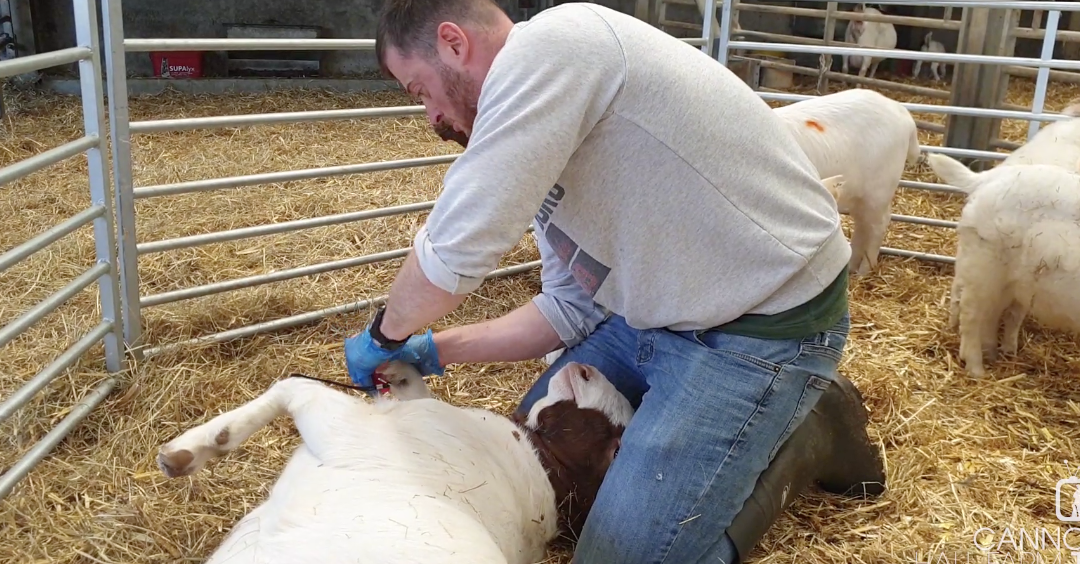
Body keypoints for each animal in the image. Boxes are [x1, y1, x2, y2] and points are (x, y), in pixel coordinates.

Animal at [156, 360, 633, 564]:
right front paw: (398, 366)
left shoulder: (350, 431)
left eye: (618, 446)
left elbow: (294, 386)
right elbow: (408, 384)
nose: (586, 368)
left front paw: (191, 449)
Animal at [775, 88, 921, 275]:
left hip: (880, 189)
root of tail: (900, 110)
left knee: (878, 224)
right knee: (862, 225)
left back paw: (864, 272)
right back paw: (852, 267)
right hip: (858, 195)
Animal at [926, 153, 1080, 377]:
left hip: (1008, 279)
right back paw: (976, 368)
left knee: (992, 314)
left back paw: (994, 354)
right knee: (971, 315)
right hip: (984, 270)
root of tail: (986, 177)